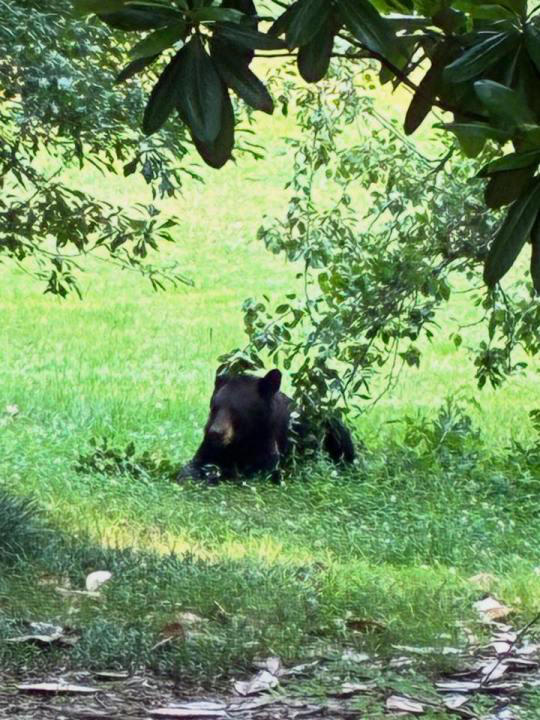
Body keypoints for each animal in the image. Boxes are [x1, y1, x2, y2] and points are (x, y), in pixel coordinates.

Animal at [177, 369, 355, 483]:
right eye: (215, 407)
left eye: (236, 410)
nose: (216, 433)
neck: (241, 439)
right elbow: (195, 462)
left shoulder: (268, 440)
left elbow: (258, 469)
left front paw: (218, 474)